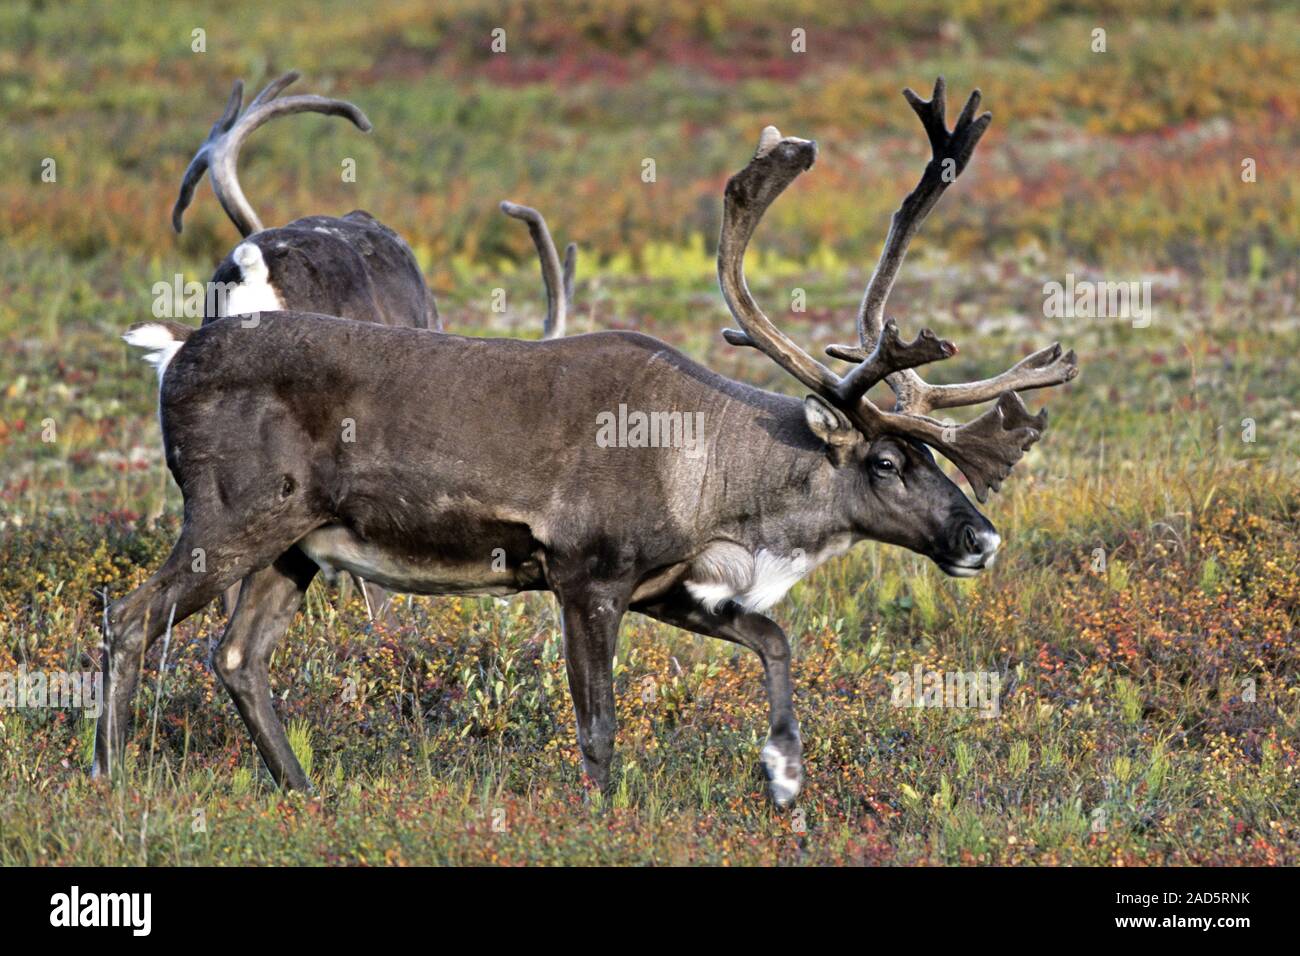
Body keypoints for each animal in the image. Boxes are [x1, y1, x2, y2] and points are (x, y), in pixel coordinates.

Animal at [98, 80, 1076, 807]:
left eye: (936, 458)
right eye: (885, 461)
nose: (981, 537)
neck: (709, 473)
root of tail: (177, 356)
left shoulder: (665, 583)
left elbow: (774, 637)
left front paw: (785, 775)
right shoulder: (584, 575)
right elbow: (598, 728)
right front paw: (603, 818)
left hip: (297, 546)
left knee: (236, 657)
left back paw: (304, 793)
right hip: (230, 517)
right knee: (131, 618)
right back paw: (110, 774)